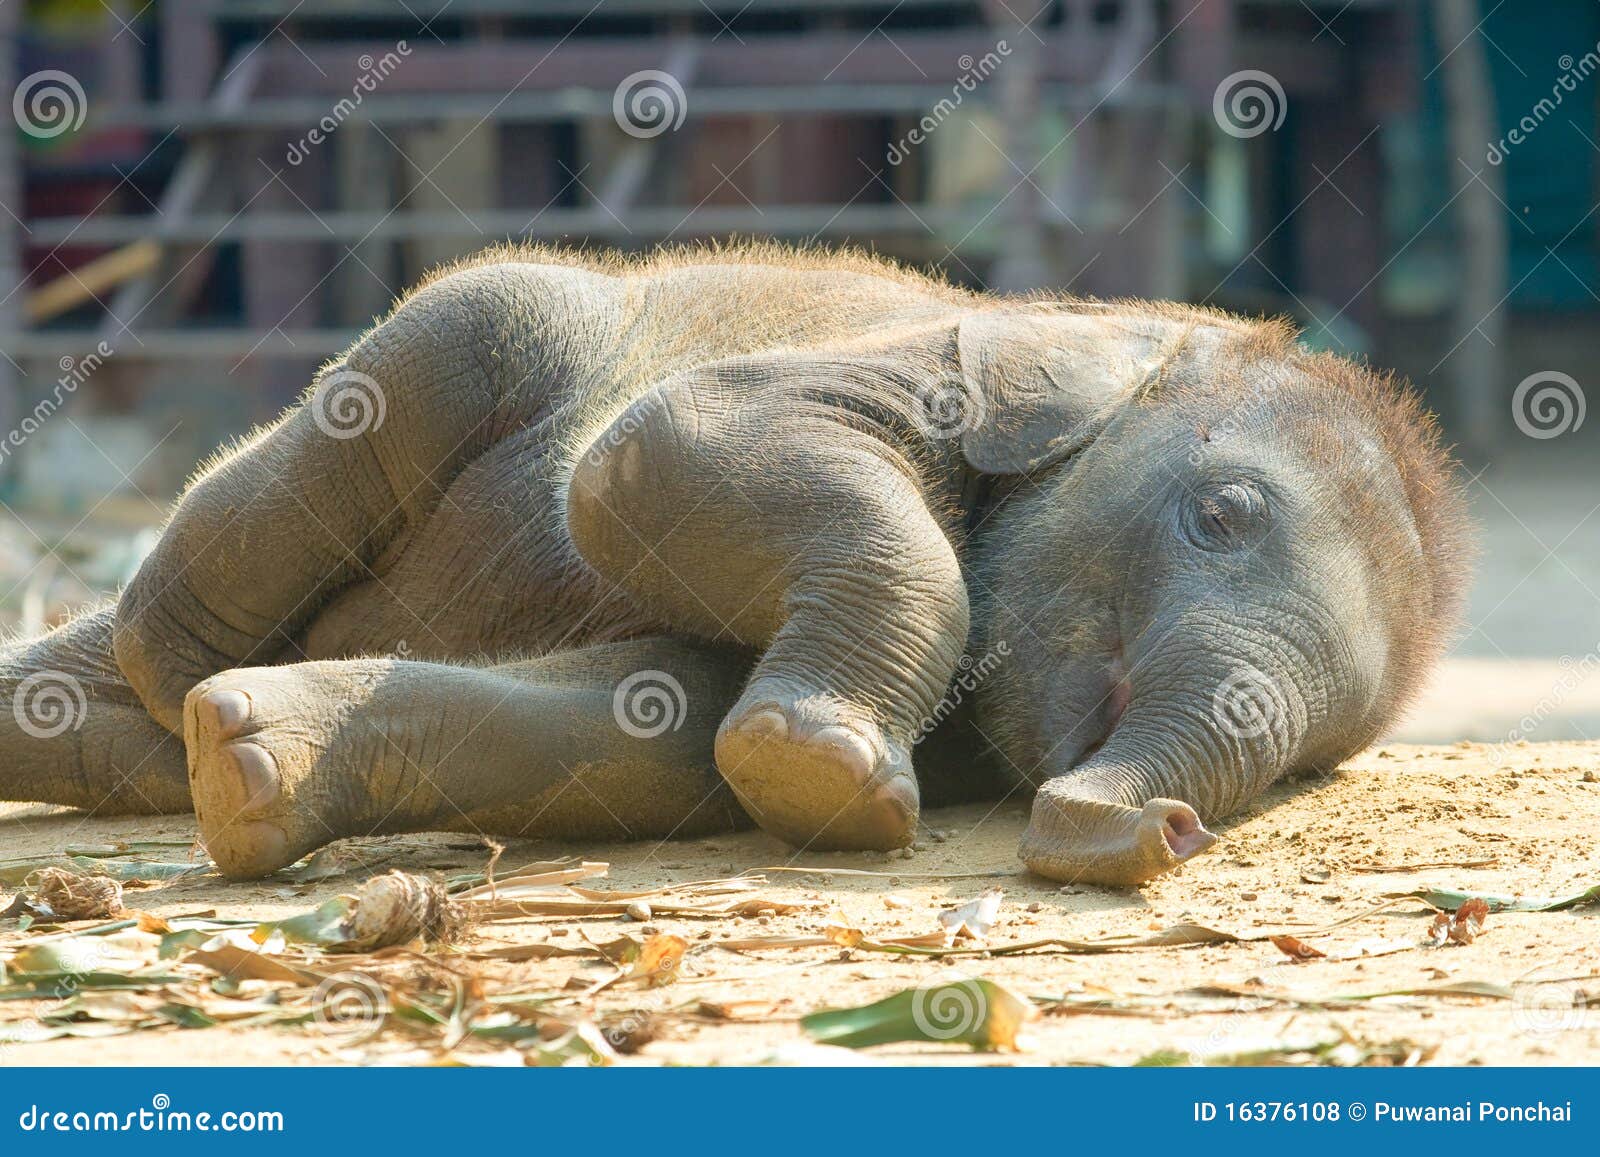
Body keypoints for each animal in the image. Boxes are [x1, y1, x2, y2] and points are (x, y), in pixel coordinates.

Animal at [0, 243, 1472, 885]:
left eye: (1310, 762)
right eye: (1219, 514)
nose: (1160, 828)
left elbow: (653, 726)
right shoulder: (926, 354)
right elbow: (653, 453)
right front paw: (838, 767)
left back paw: (177, 731)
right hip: (504, 327)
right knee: (454, 346)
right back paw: (174, 660)